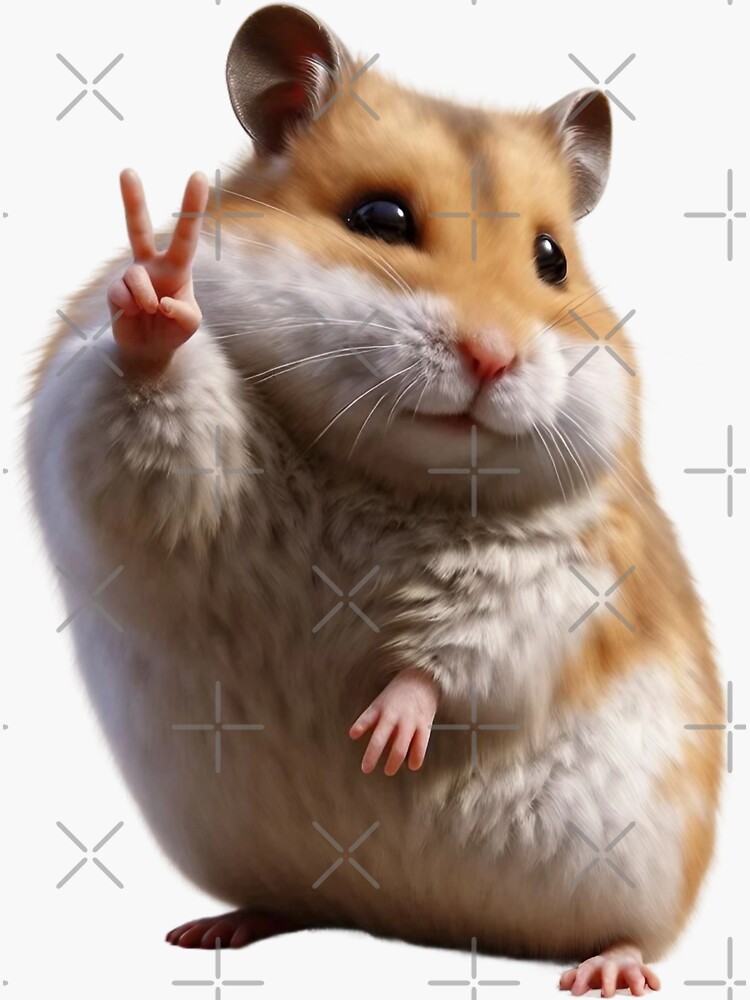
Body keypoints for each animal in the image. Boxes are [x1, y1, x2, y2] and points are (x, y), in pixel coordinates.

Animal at [26, 4, 723, 996]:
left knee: (630, 933)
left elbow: (451, 652)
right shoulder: (133, 450)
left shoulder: (562, 570)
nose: (493, 356)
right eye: (380, 218)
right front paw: (163, 290)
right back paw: (214, 930)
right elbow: (157, 405)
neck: (382, 468)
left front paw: (380, 743)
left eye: (552, 260)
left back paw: (608, 972)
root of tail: (411, 915)